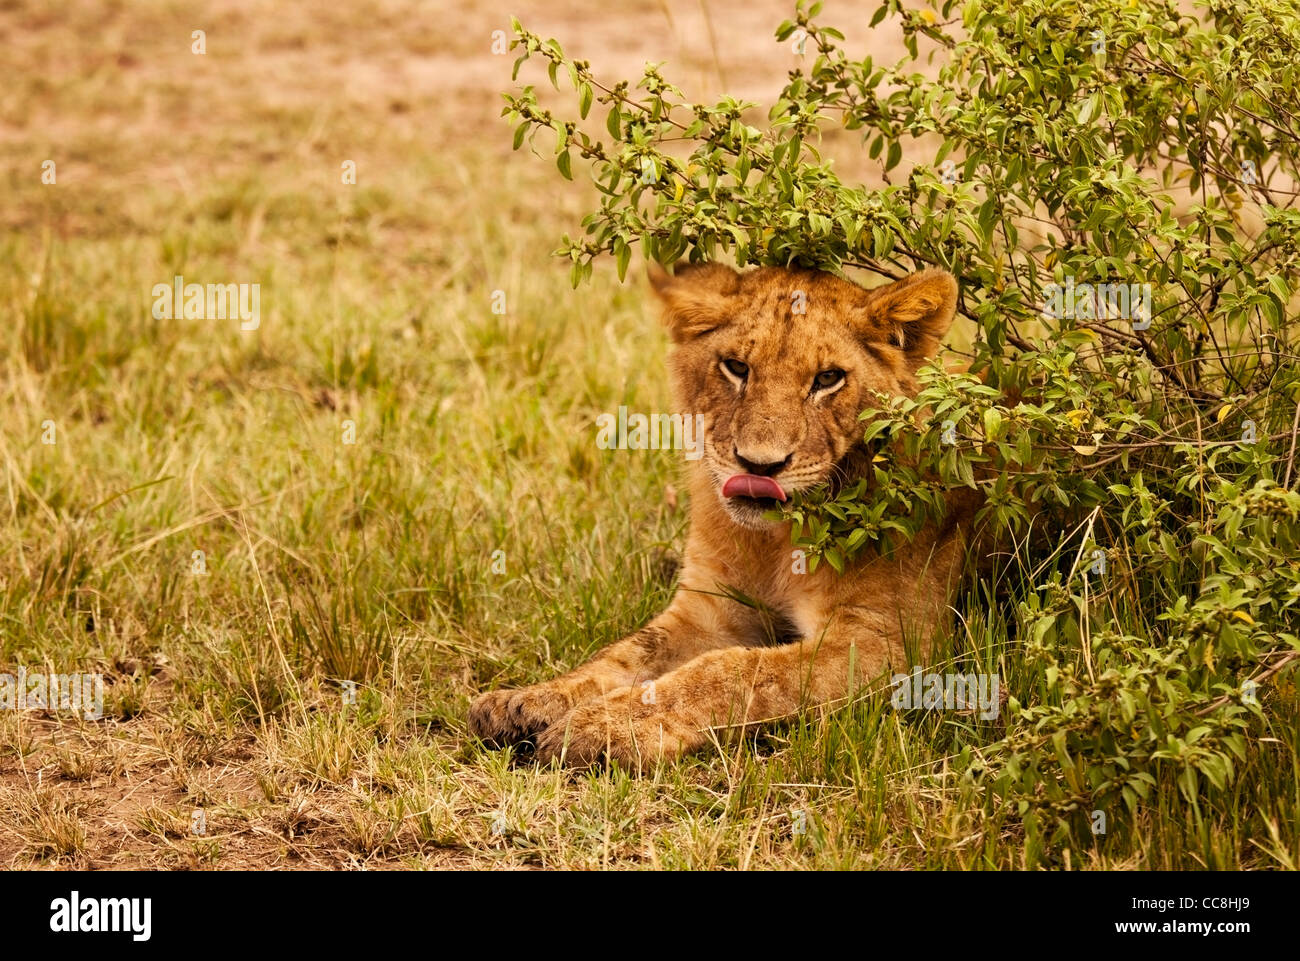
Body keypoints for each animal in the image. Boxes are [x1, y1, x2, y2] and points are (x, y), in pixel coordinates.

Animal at [468, 262, 981, 769]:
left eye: (828, 378)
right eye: (736, 368)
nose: (759, 466)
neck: (774, 542)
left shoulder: (895, 645)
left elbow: (735, 670)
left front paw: (605, 727)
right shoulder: (709, 611)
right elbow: (627, 653)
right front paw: (530, 700)